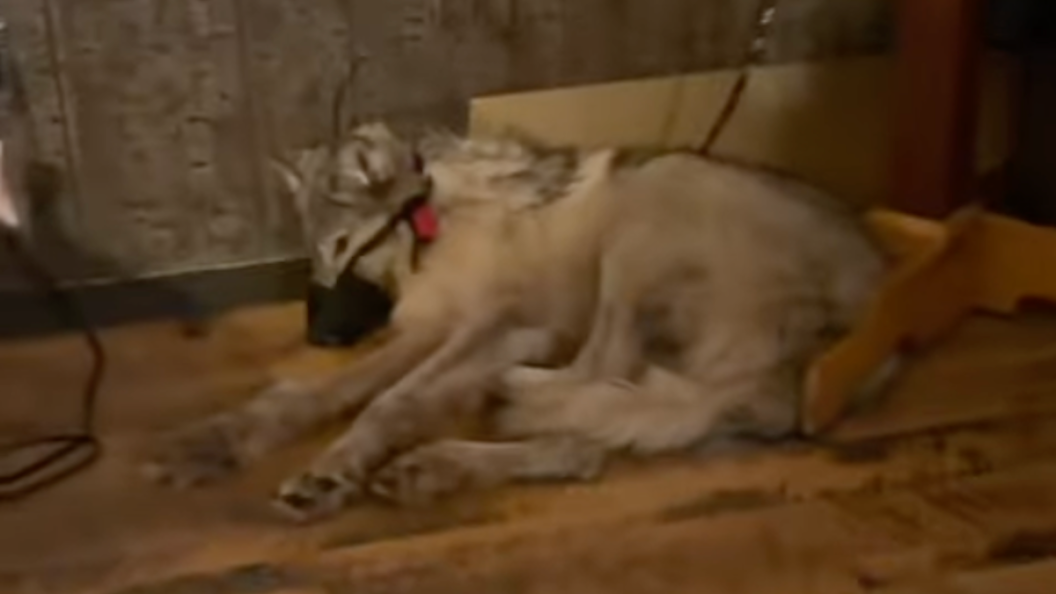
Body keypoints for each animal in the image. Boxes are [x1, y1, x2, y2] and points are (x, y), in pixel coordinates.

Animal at [141, 122, 890, 521]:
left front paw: (336, 466)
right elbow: (328, 392)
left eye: (343, 247)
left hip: (647, 209)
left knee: (589, 385)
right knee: (586, 443)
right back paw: (446, 464)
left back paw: (471, 431)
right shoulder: (430, 328)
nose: (316, 336)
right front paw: (226, 437)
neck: (434, 225)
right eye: (315, 258)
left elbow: (388, 402)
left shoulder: (498, 325)